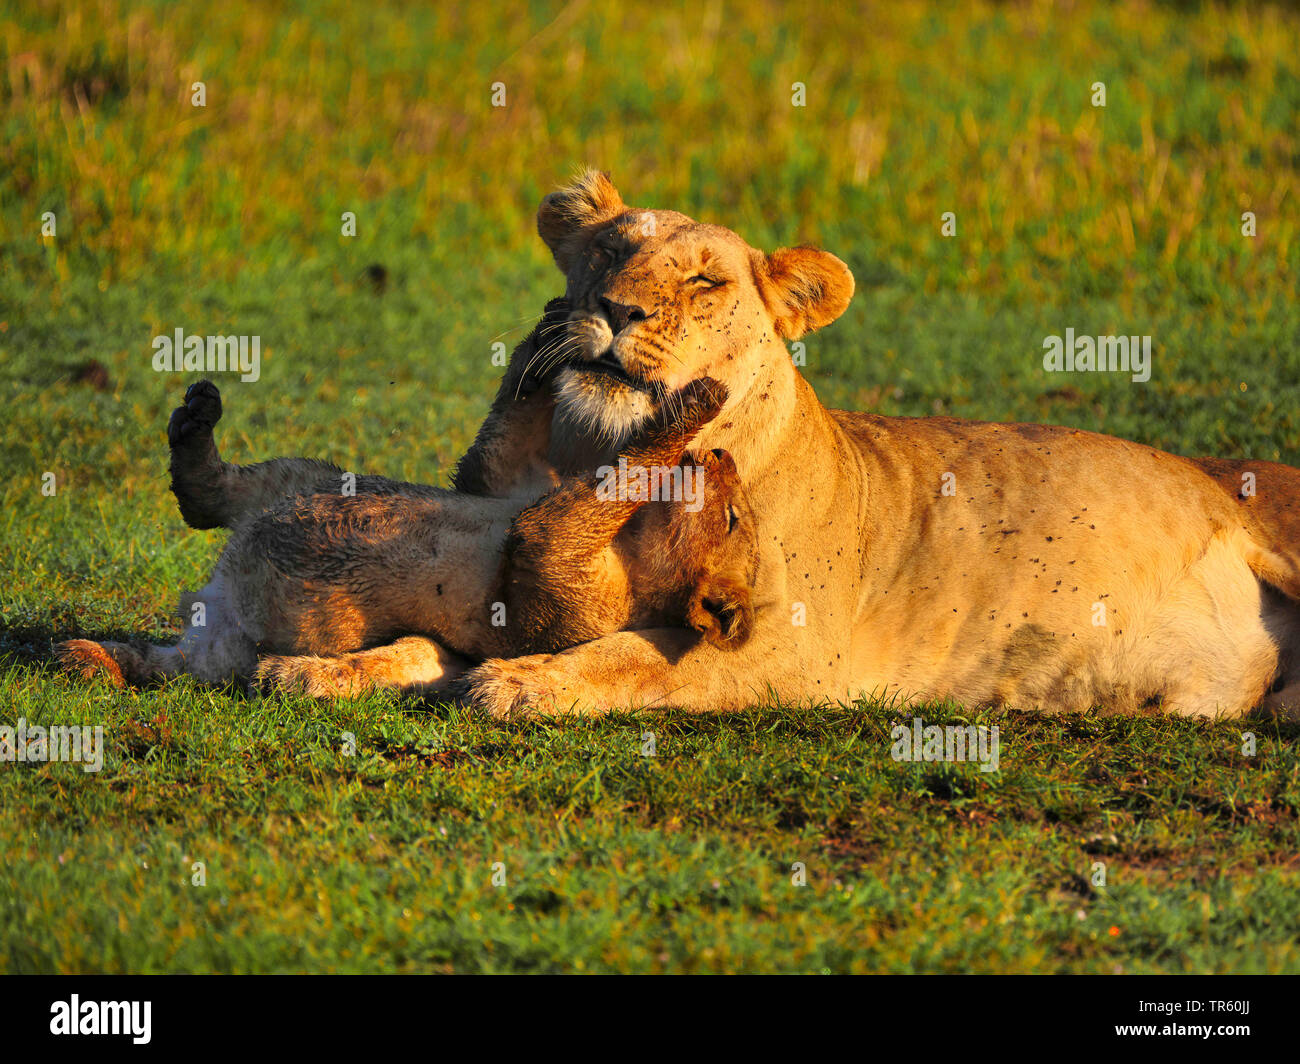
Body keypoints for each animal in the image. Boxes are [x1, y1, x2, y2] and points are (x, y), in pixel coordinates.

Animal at [149, 171, 1300, 719]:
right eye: (607, 251)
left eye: (703, 280)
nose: (609, 308)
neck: (585, 453)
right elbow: (421, 644)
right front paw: (322, 670)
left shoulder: (771, 646)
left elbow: (625, 658)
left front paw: (526, 688)